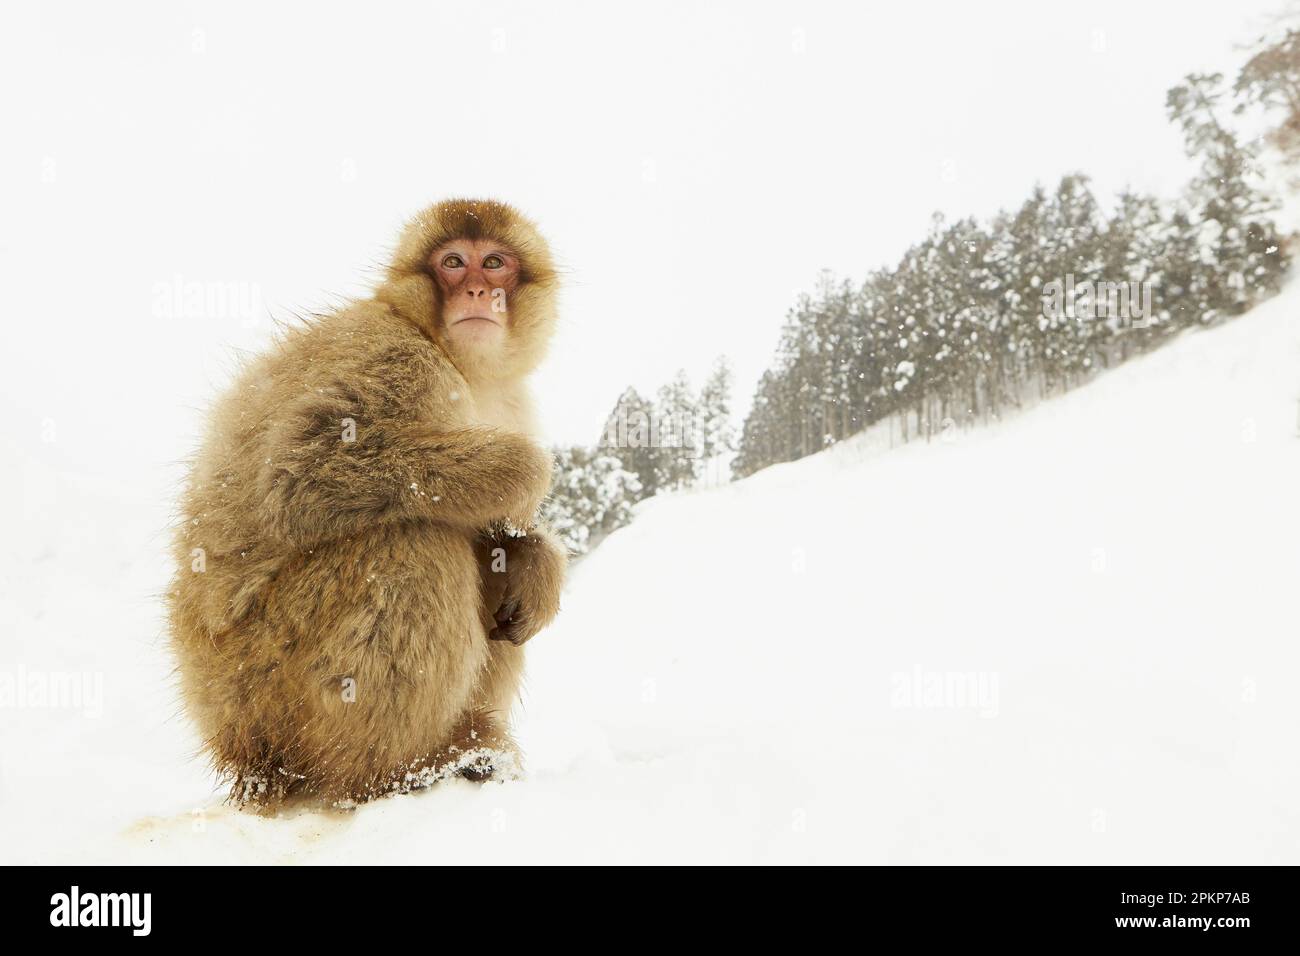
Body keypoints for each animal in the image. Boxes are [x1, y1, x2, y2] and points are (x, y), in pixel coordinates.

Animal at [167, 198, 568, 808]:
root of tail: (239, 751)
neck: (453, 358)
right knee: (410, 538)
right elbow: (299, 475)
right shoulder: (393, 358)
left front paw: (538, 557)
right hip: (261, 678)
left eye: (495, 262)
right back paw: (399, 771)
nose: (478, 291)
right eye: (454, 262)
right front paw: (526, 472)